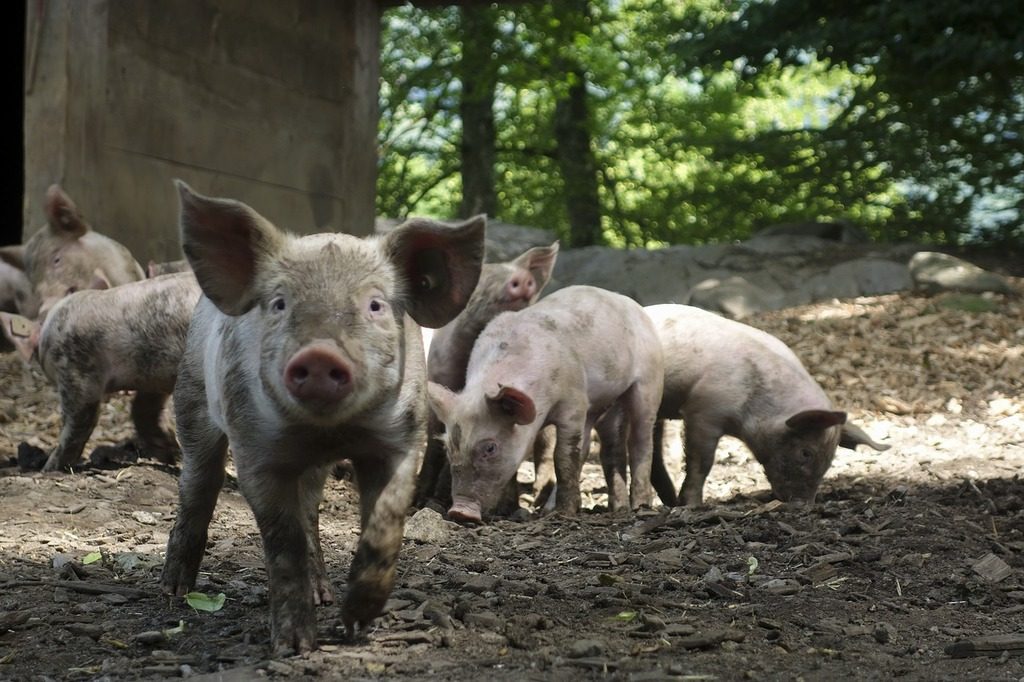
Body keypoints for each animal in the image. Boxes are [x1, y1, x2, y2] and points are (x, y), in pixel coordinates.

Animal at [0, 272, 201, 471]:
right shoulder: (152, 377)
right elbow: (142, 409)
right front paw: (169, 454)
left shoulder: (75, 368)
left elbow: (79, 421)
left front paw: (49, 469)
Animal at [160, 182, 484, 655]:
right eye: (279, 303)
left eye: (375, 305)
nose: (319, 354)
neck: (329, 432)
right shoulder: (254, 447)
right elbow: (283, 540)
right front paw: (293, 647)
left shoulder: (402, 438)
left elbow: (385, 523)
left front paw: (355, 624)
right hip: (192, 397)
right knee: (199, 486)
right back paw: (173, 591)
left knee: (310, 511)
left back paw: (324, 594)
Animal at [414, 242, 559, 509]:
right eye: (482, 278)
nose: (522, 277)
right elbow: (435, 445)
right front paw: (421, 501)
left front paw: (508, 509)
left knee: (545, 449)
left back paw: (540, 498)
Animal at [426, 285, 664, 523]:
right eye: (448, 446)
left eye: (490, 448)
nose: (459, 511)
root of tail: (628, 302)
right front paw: (508, 511)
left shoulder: (574, 401)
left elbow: (563, 456)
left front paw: (565, 513)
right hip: (603, 405)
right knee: (595, 447)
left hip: (649, 381)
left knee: (641, 440)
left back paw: (639, 506)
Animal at [597, 304, 889, 509]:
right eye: (806, 452)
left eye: (831, 459)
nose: (804, 505)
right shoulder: (703, 410)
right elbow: (702, 461)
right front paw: (693, 505)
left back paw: (668, 502)